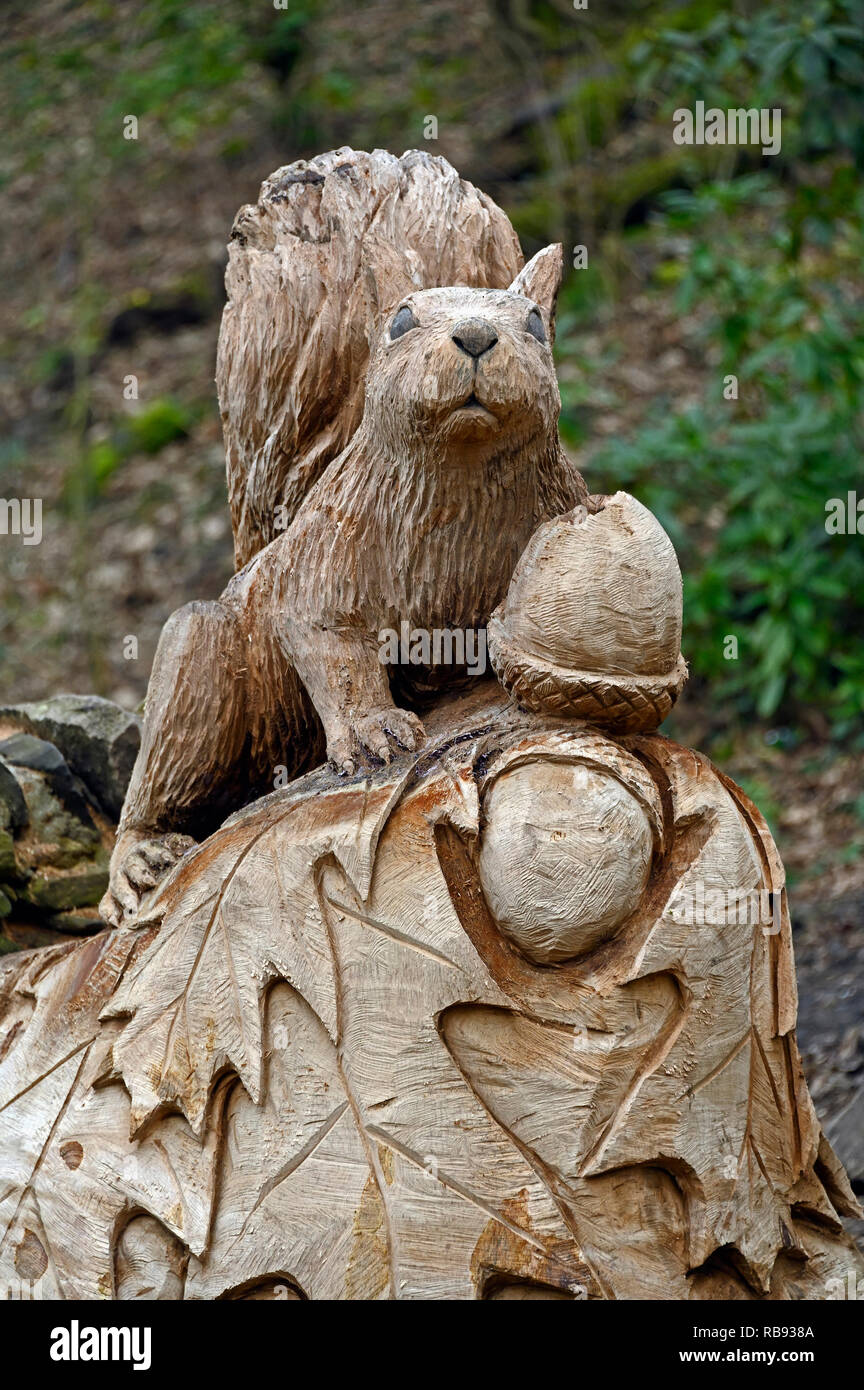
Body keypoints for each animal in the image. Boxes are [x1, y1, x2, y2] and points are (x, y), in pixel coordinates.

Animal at [101, 151, 597, 925]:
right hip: (200, 672)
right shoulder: (324, 559)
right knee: (163, 767)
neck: (457, 478)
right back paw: (140, 857)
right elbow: (327, 638)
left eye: (537, 324)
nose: (476, 338)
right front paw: (373, 733)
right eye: (400, 320)